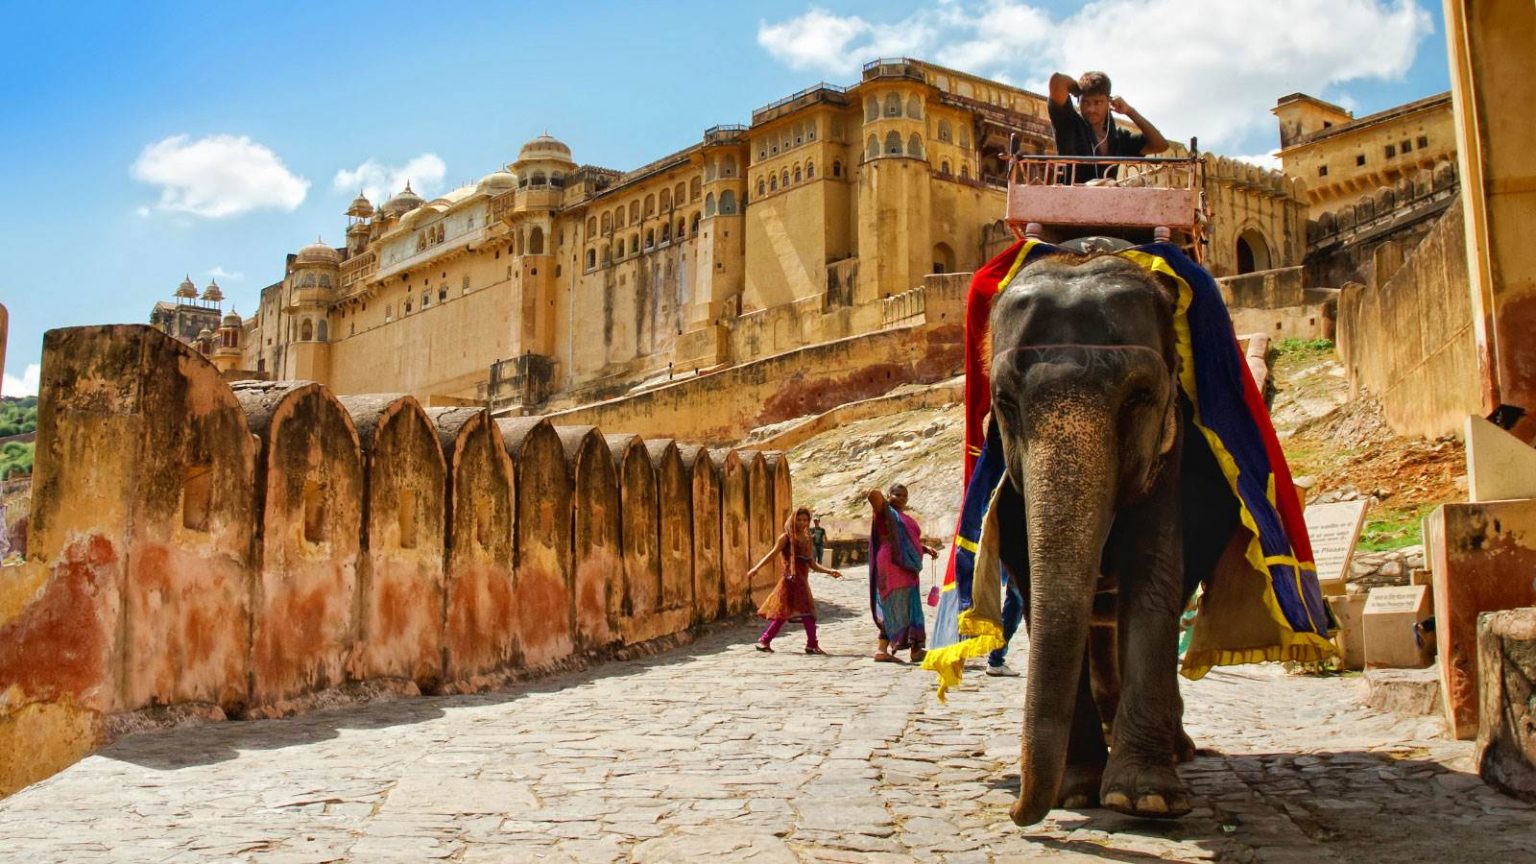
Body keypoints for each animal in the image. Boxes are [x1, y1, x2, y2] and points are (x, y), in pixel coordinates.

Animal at [986, 251, 1242, 826]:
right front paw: (1076, 791)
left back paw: (1176, 749)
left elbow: (1155, 575)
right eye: (1004, 401)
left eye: (1140, 397)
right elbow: (1035, 585)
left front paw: (1145, 798)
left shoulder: (1171, 450)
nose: (1013, 810)